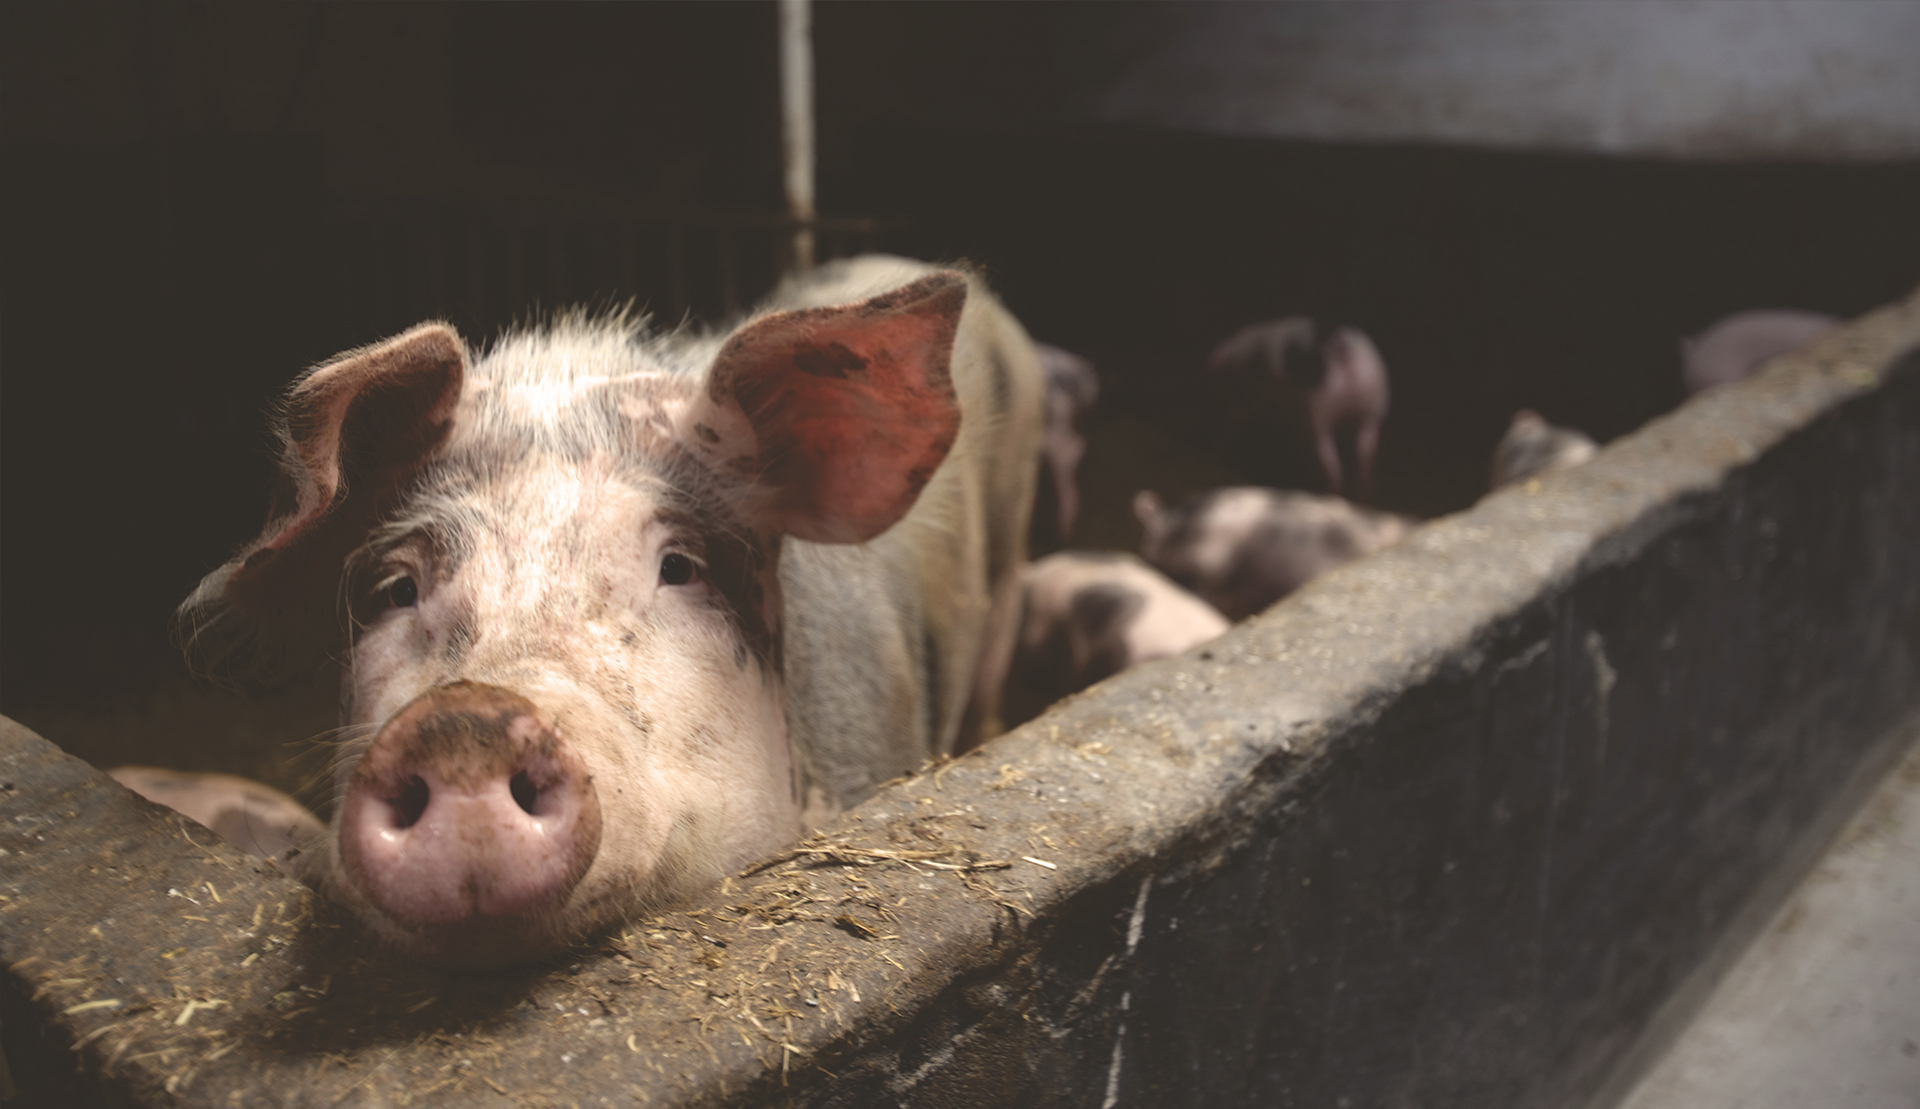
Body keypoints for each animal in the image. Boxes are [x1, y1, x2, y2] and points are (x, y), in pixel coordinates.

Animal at [1208, 317, 1390, 496]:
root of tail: (1338, 342)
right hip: (1365, 408)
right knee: (1362, 451)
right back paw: (1360, 492)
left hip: (1317, 410)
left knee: (1328, 458)